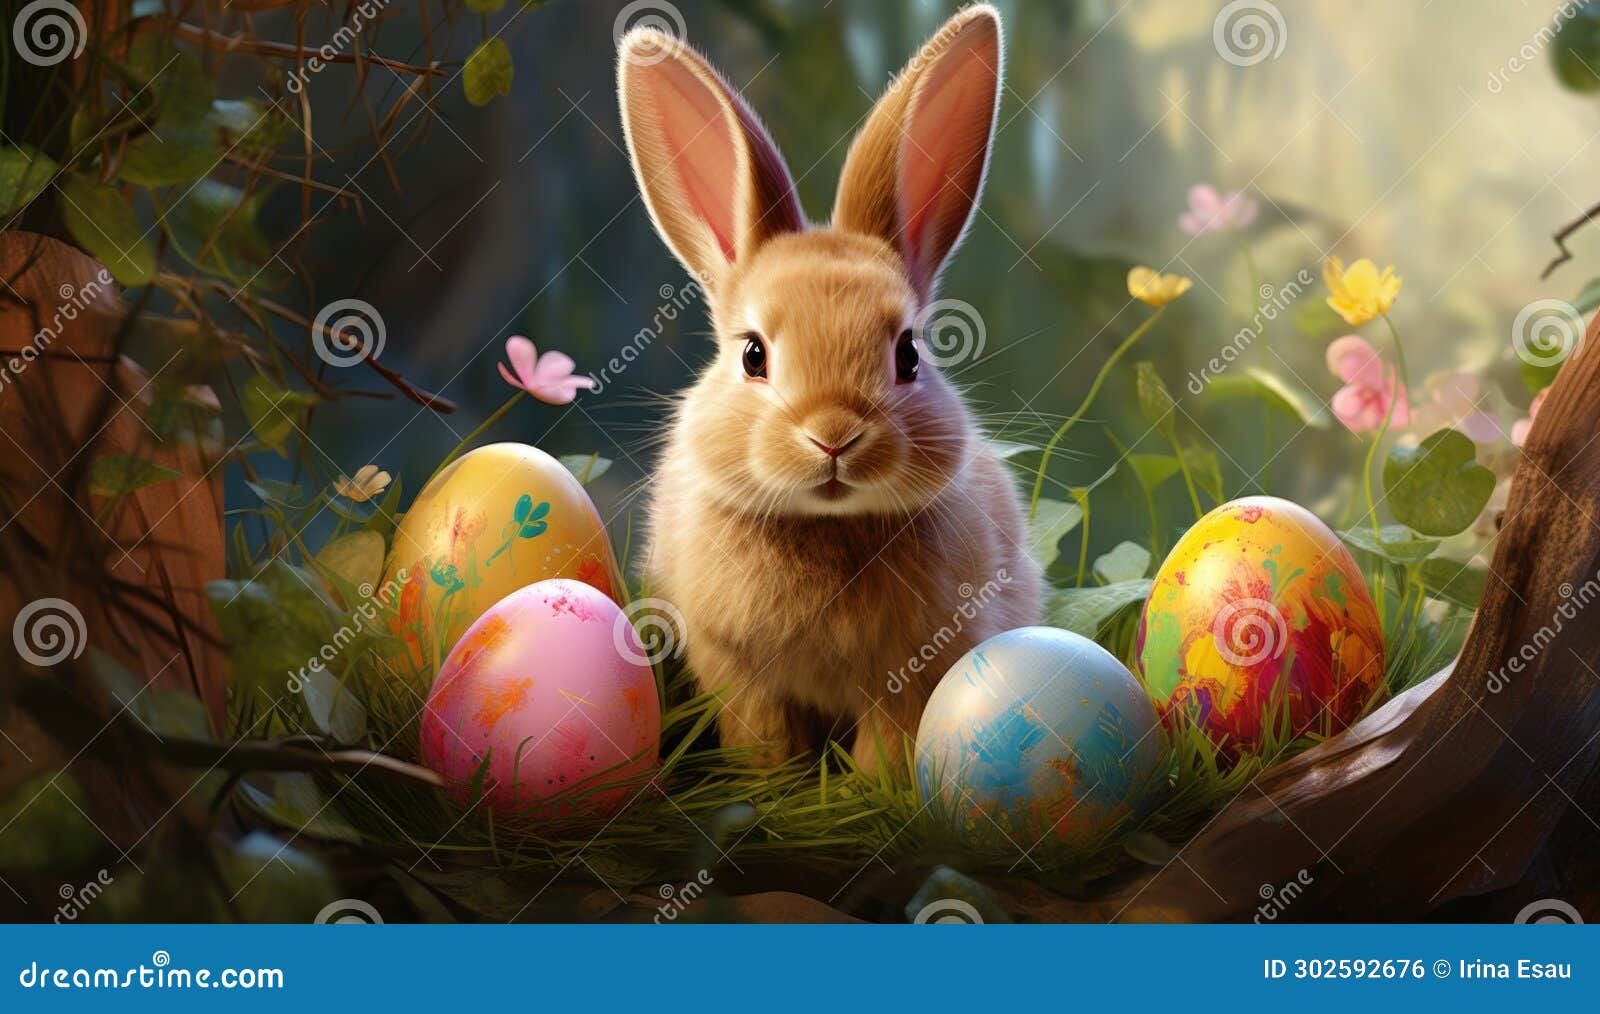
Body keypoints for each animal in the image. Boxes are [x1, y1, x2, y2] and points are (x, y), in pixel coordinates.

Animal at [617, 4, 1041, 775]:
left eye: (908, 355)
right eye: (753, 355)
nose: (834, 436)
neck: (825, 524)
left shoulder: (908, 675)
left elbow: (890, 746)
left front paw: (869, 788)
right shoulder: (740, 674)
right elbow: (763, 739)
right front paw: (771, 784)